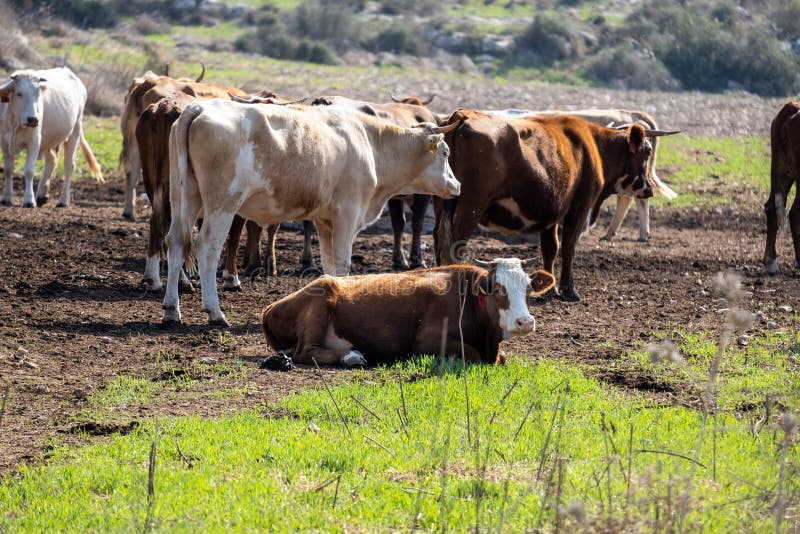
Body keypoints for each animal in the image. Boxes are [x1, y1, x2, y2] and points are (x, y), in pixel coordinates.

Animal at [0, 67, 103, 208]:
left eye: (38, 95)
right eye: (19, 93)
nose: (33, 119)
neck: (16, 123)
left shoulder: (34, 142)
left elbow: (29, 171)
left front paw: (29, 200)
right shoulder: (4, 143)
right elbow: (8, 170)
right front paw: (6, 198)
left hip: (75, 131)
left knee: (69, 166)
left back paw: (63, 200)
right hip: (50, 140)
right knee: (52, 160)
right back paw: (42, 195)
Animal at [161, 99, 461, 326]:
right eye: (446, 153)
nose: (456, 185)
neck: (371, 145)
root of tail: (199, 107)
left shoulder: (325, 220)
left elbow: (330, 265)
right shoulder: (347, 212)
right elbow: (342, 263)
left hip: (184, 198)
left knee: (174, 242)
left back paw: (171, 310)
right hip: (222, 203)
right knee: (208, 248)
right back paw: (215, 312)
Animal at [260, 259, 556, 368]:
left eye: (528, 288)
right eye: (496, 289)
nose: (525, 321)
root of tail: (269, 307)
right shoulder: (425, 342)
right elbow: (472, 355)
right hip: (321, 299)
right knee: (305, 352)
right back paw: (351, 356)